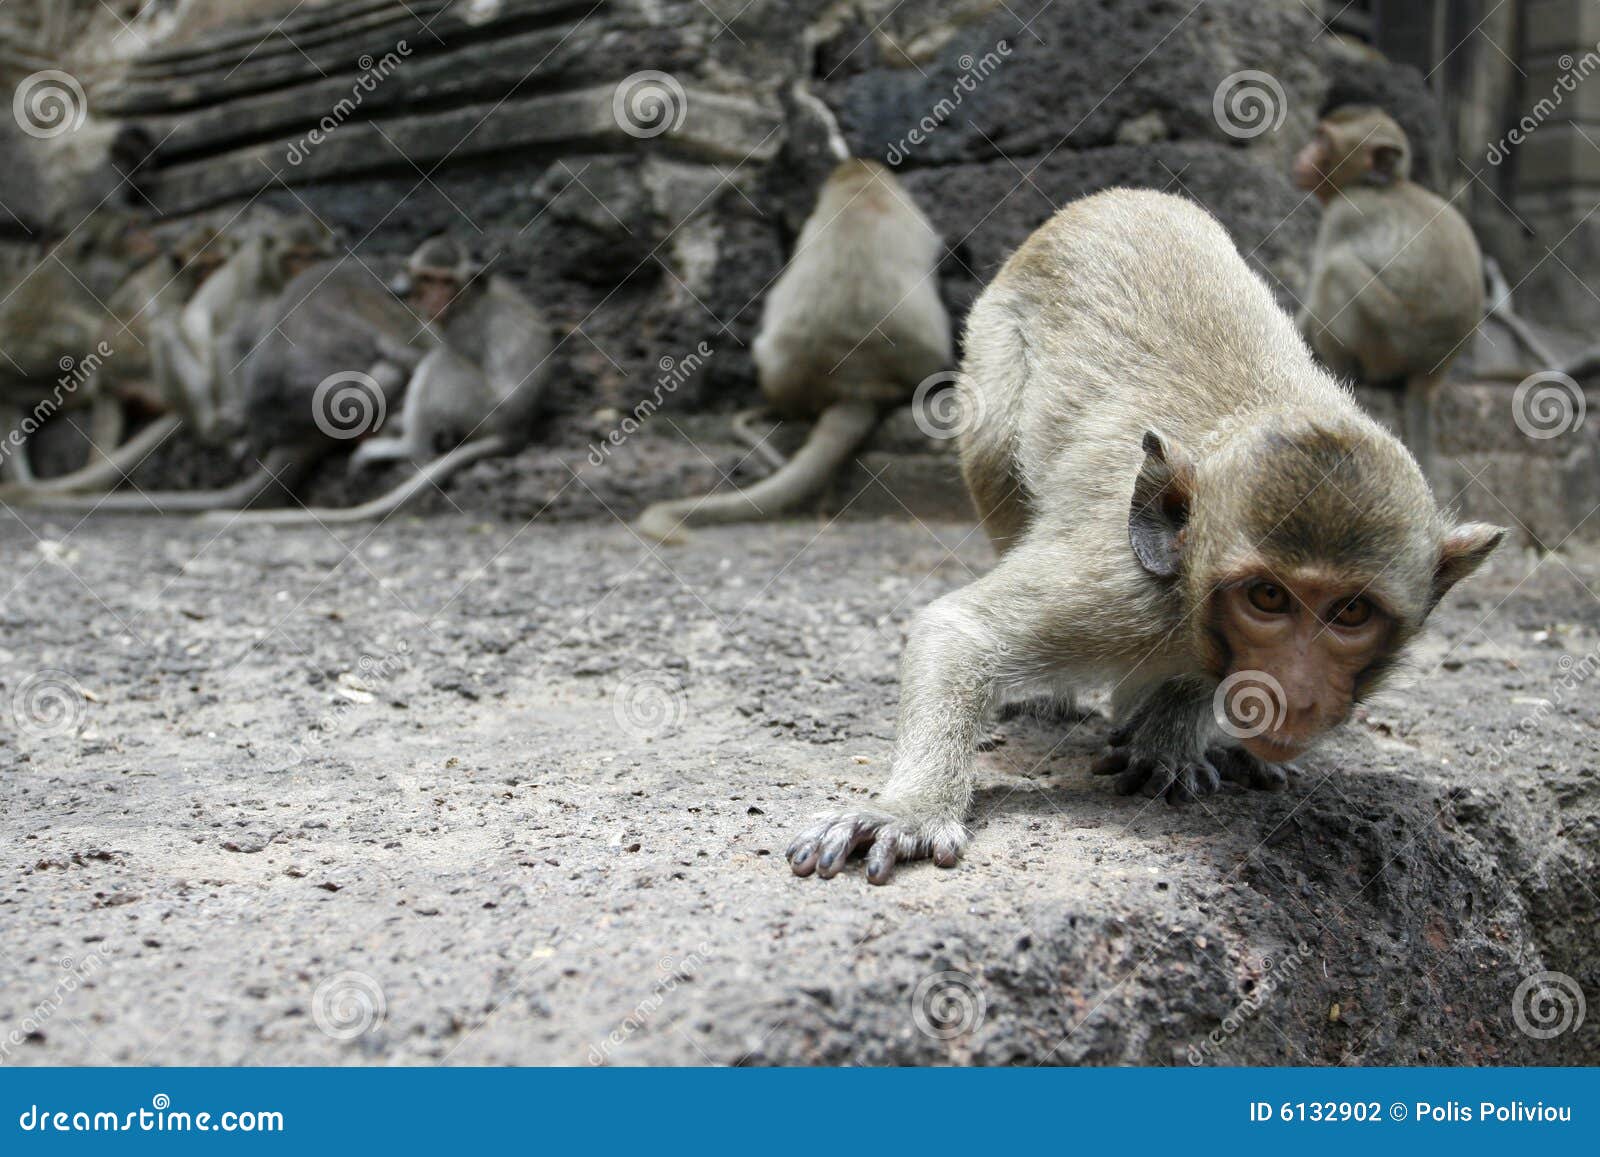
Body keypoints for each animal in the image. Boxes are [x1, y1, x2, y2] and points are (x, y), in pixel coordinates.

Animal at [209, 236, 551, 526]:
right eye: (427, 280)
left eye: (444, 282)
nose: (433, 298)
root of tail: (518, 431)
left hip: (485, 410)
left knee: (434, 364)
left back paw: (406, 445)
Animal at [787, 189, 1504, 885]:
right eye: (1267, 599)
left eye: (1351, 612)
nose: (1294, 693)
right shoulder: (1121, 588)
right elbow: (962, 632)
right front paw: (909, 810)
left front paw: (1171, 733)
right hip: (993, 342)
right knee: (996, 461)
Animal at [1291, 106, 1483, 482]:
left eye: (1322, 138)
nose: (1304, 153)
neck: (1379, 185)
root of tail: (1432, 372)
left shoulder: (1344, 214)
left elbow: (1316, 291)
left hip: (1388, 341)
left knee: (1337, 268)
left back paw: (1339, 372)